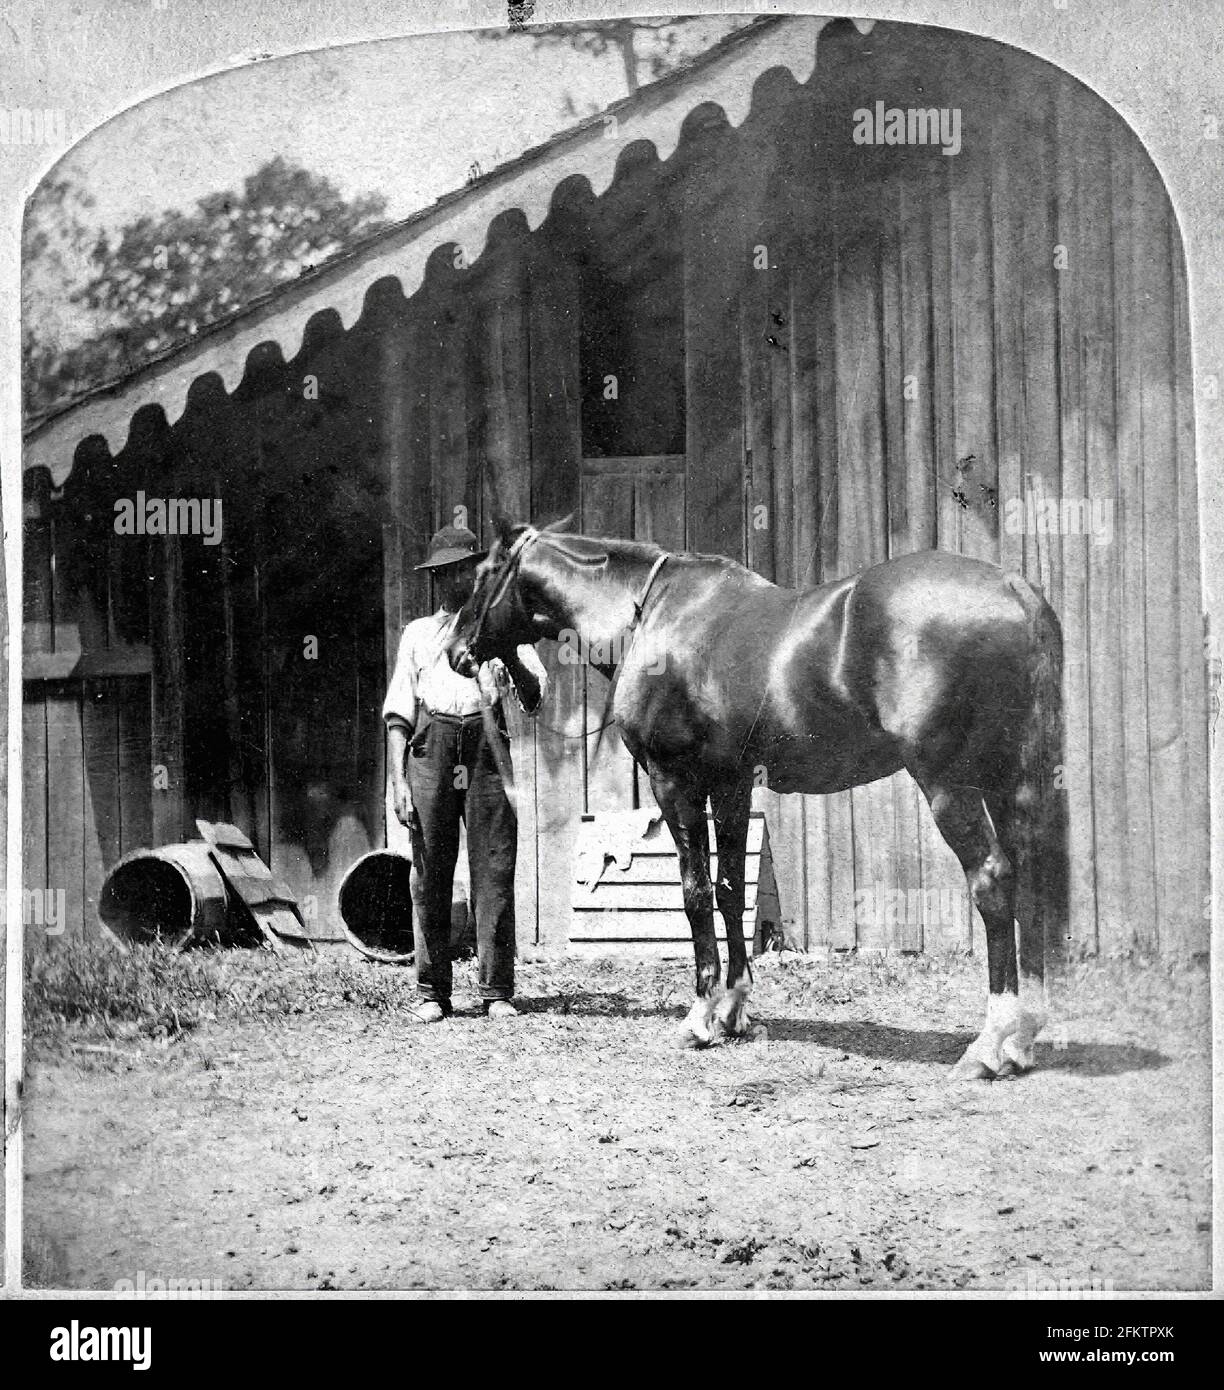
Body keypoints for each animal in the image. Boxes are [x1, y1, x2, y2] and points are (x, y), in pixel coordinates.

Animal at [446, 517, 1067, 1081]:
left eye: (482, 576)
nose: (454, 650)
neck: (653, 614)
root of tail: (1016, 590)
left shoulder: (675, 782)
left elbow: (695, 892)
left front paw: (700, 1018)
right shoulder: (733, 784)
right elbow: (728, 891)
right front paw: (734, 1012)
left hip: (950, 784)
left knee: (992, 881)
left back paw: (988, 1047)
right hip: (1014, 783)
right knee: (1032, 879)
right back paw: (1022, 1039)